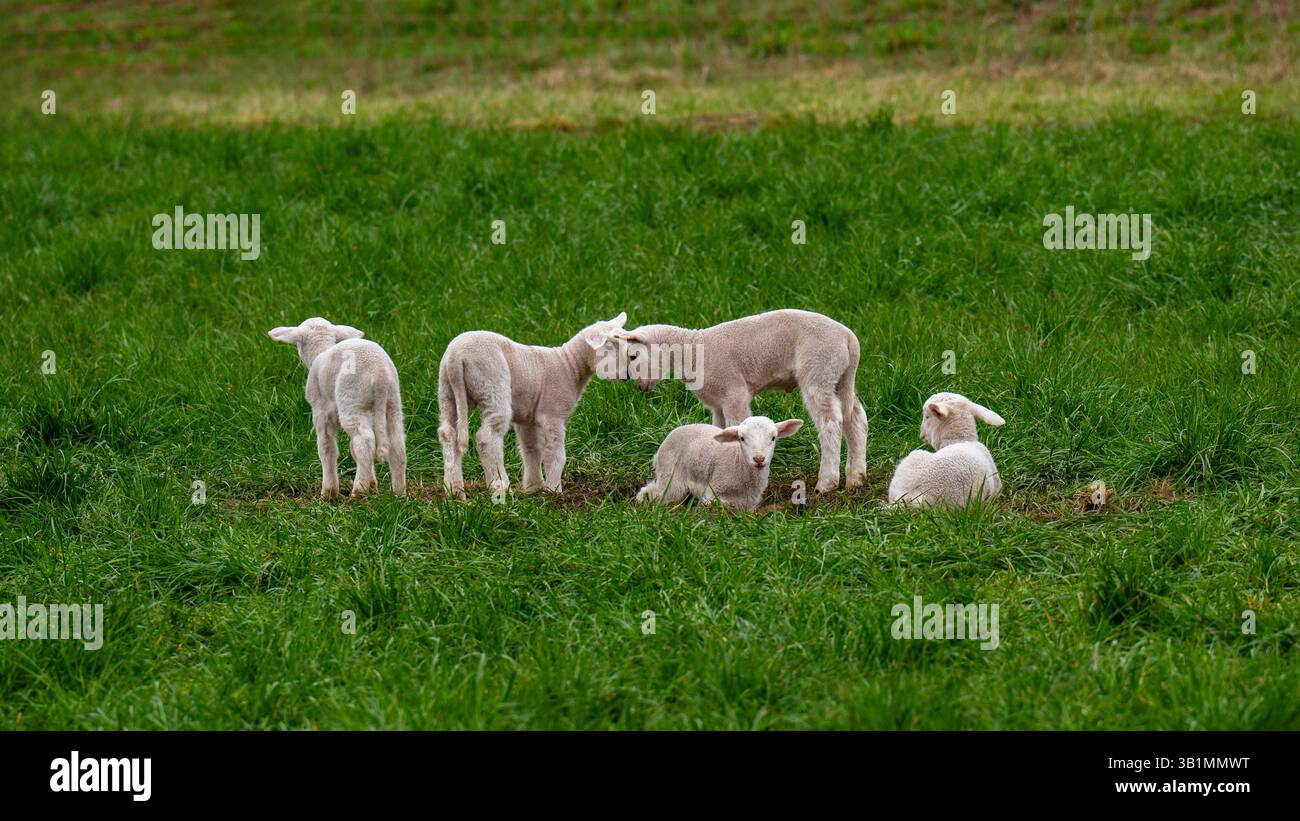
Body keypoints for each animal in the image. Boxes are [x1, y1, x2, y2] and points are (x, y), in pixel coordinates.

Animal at [268, 317, 406, 499]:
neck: (320, 351)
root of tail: (380, 375)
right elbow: (352, 450)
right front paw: (372, 485)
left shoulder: (320, 410)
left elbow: (326, 448)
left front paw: (329, 492)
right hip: (392, 401)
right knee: (396, 443)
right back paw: (398, 492)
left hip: (351, 399)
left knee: (365, 441)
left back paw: (358, 491)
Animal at [438, 312, 628, 499]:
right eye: (610, 347)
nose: (626, 376)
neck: (569, 365)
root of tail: (456, 357)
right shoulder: (553, 414)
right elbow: (555, 454)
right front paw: (554, 490)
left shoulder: (526, 418)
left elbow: (531, 450)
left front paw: (534, 487)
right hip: (492, 384)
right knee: (487, 438)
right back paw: (502, 487)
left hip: (447, 392)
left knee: (448, 434)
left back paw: (454, 490)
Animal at [605, 309, 867, 494]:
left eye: (632, 356)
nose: (637, 386)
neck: (691, 351)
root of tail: (849, 338)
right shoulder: (717, 402)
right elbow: (719, 432)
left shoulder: (734, 394)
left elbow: (739, 424)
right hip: (840, 376)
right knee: (855, 419)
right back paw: (856, 478)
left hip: (819, 370)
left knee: (830, 423)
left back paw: (827, 483)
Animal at [636, 416, 803, 512]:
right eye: (742, 438)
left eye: (773, 437)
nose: (759, 459)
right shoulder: (713, 492)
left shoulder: (750, 504)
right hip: (670, 477)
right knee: (656, 494)